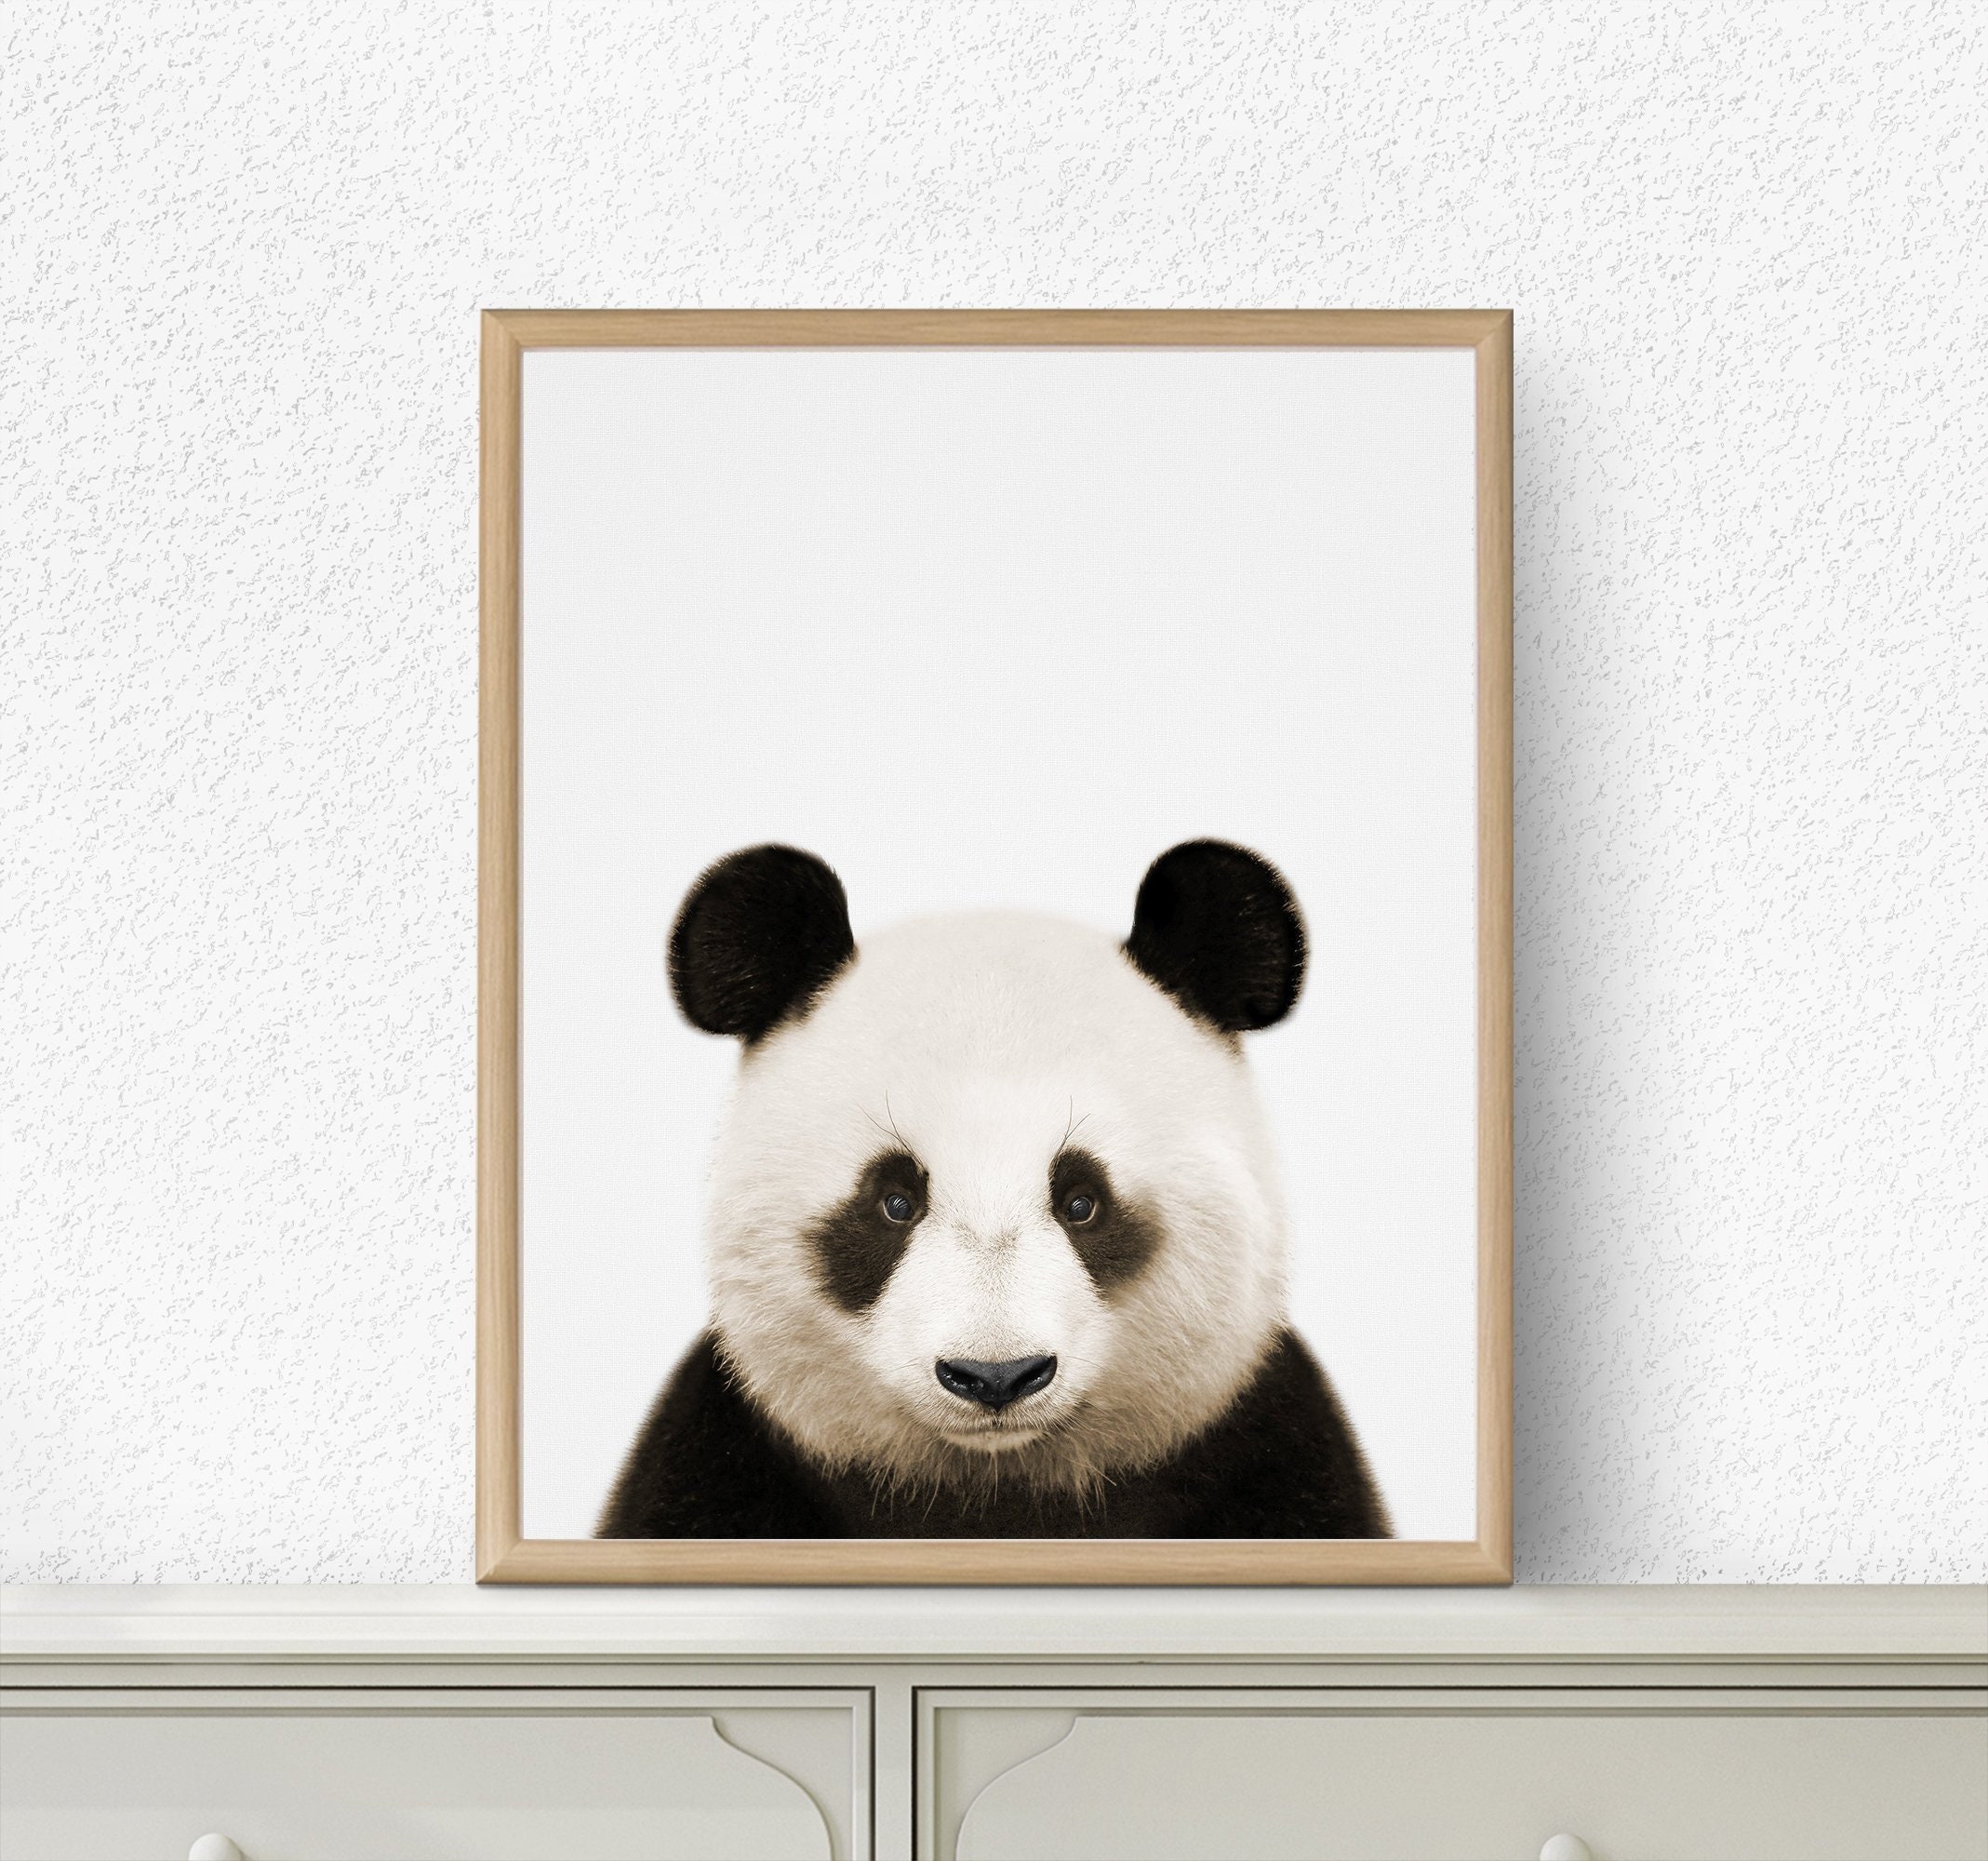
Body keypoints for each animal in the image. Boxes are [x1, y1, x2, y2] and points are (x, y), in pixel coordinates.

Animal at [598, 840, 1390, 1540]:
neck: (995, 1490)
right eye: (893, 1202)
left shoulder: (1264, 1452)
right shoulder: (725, 1458)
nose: (995, 1376)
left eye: (1081, 1202)